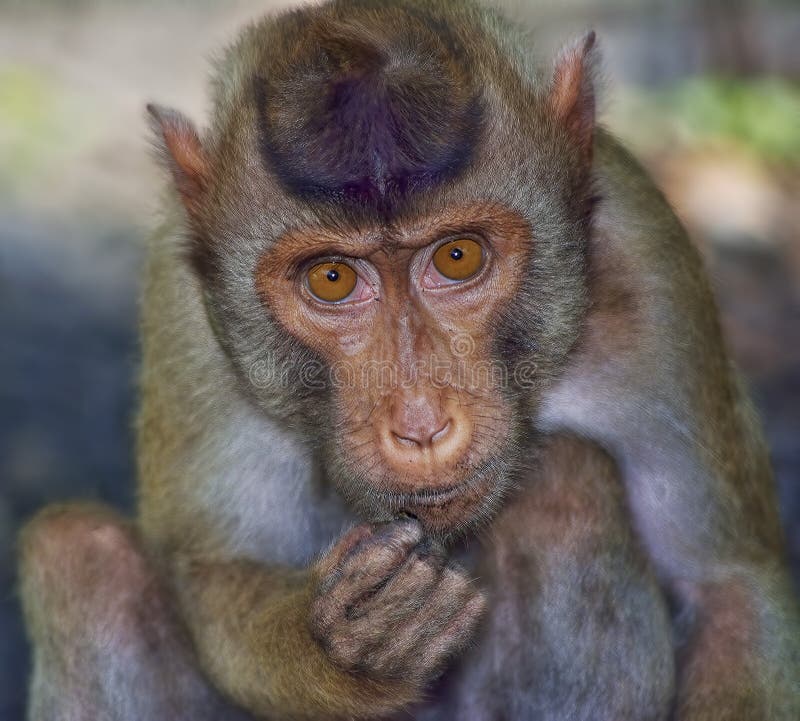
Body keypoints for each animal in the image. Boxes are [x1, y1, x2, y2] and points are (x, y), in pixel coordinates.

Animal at [17, 0, 800, 719]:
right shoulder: (182, 304)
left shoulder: (648, 255)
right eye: (332, 278)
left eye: (457, 257)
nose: (421, 422)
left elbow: (730, 591)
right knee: (79, 553)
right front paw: (349, 649)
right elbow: (213, 574)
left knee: (563, 484)